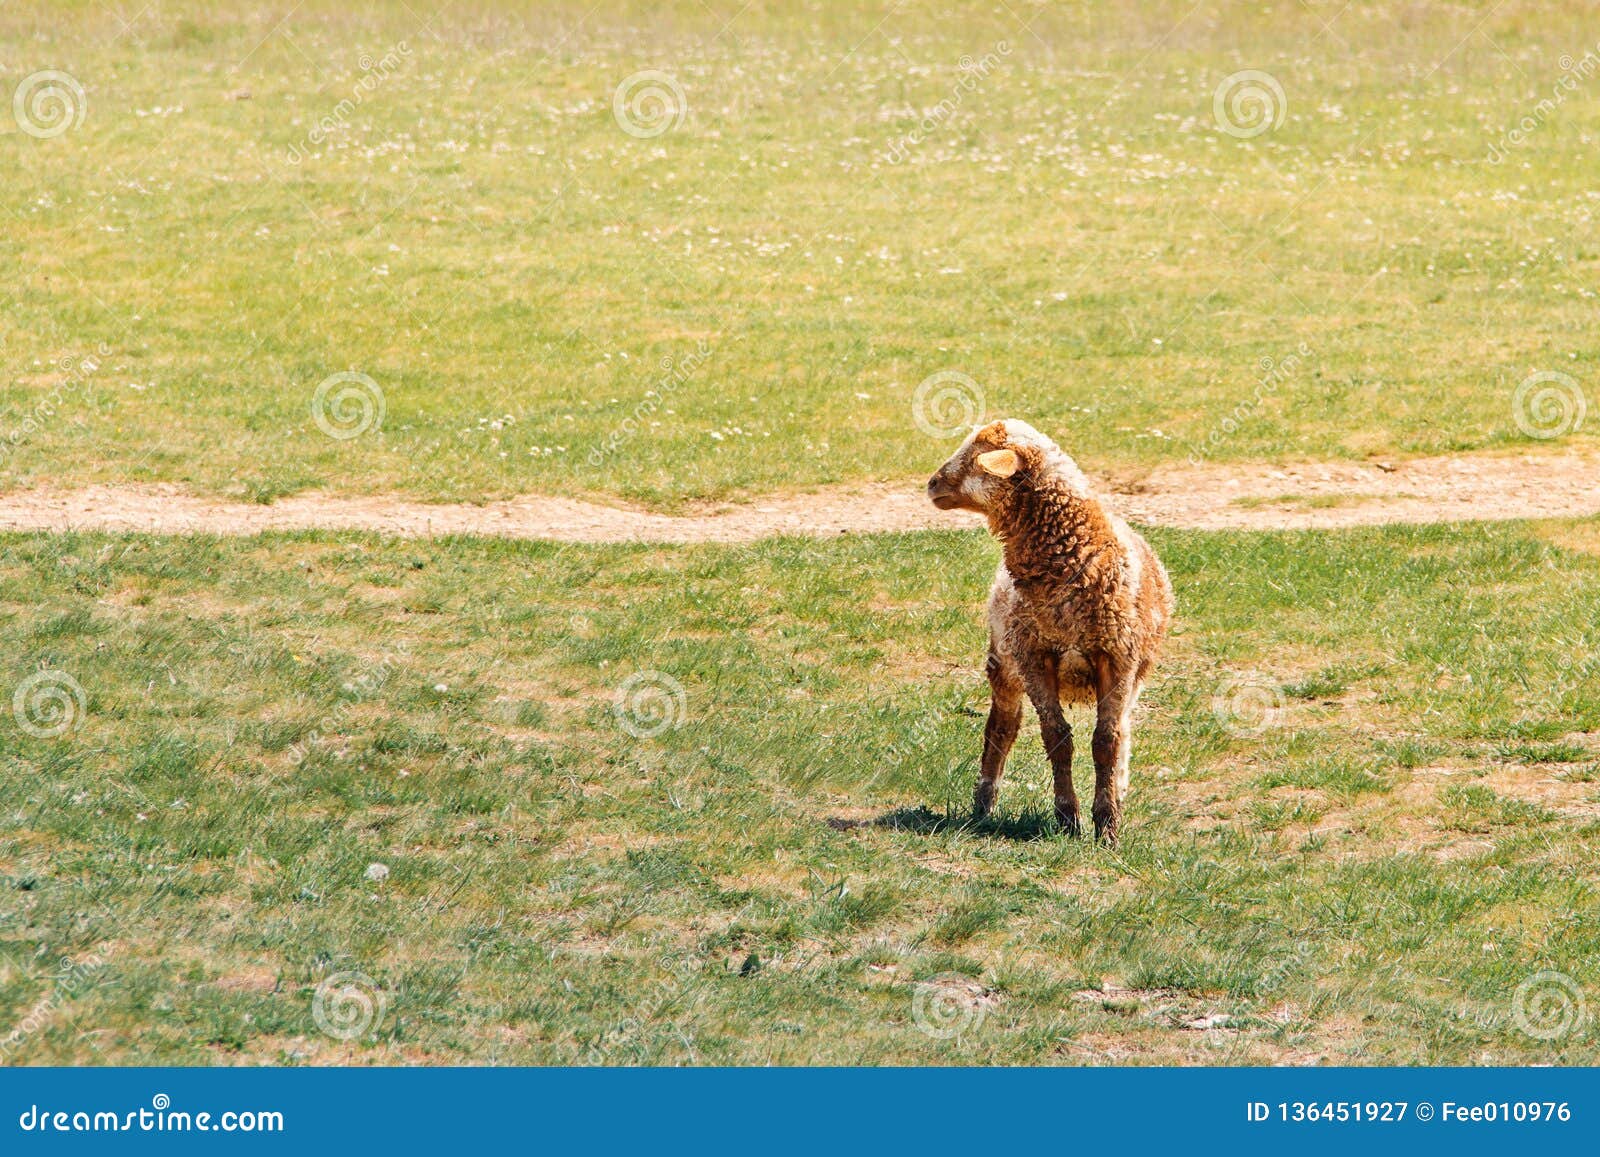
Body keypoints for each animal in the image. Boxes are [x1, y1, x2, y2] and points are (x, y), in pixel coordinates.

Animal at [927, 419, 1174, 844]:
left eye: (977, 457)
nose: (933, 484)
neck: (1077, 554)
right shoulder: (1034, 656)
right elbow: (1057, 737)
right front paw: (1068, 818)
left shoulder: (1117, 657)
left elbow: (1106, 741)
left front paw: (1107, 824)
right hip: (1004, 660)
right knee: (1001, 728)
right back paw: (983, 805)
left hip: (1136, 669)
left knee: (1122, 727)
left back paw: (1119, 790)